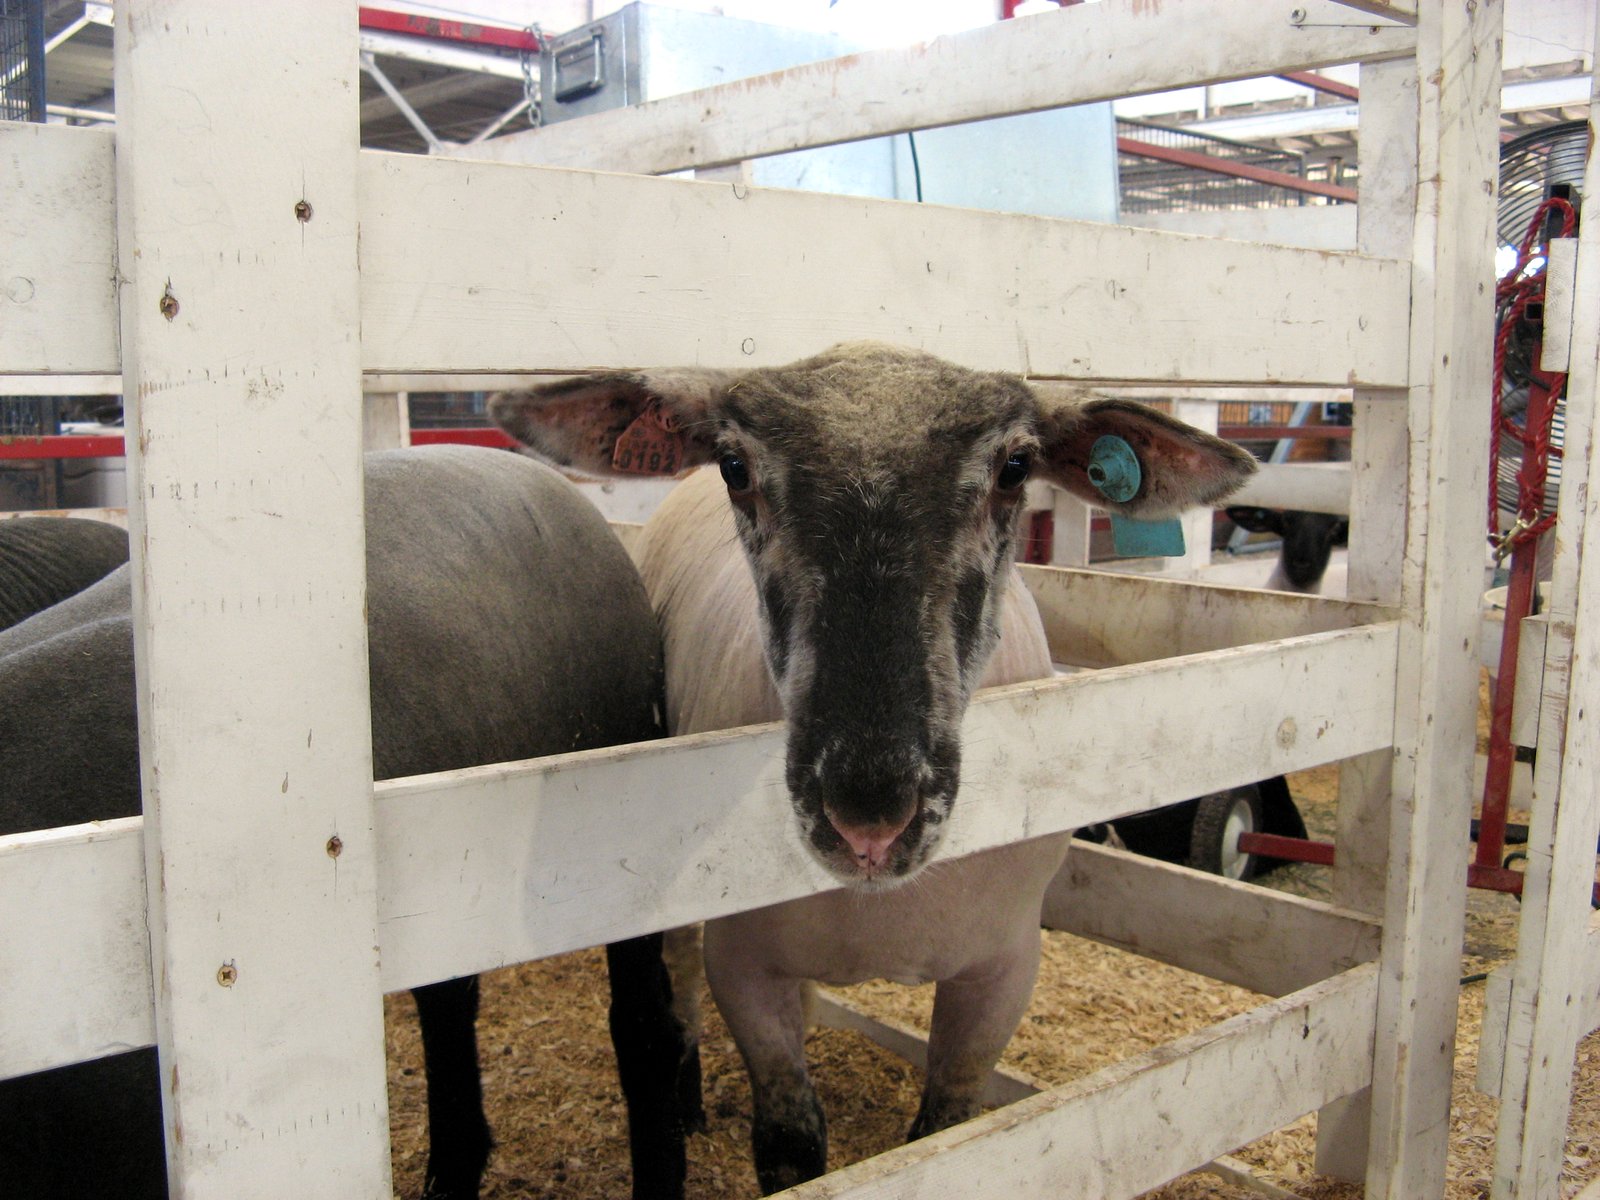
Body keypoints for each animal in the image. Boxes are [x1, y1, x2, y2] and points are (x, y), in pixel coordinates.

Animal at [490, 340, 1256, 1193]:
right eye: (733, 465)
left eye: (1016, 467)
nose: (869, 815)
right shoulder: (745, 969)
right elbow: (790, 1147)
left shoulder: (1003, 970)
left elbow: (947, 1129)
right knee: (678, 977)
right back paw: (685, 1106)